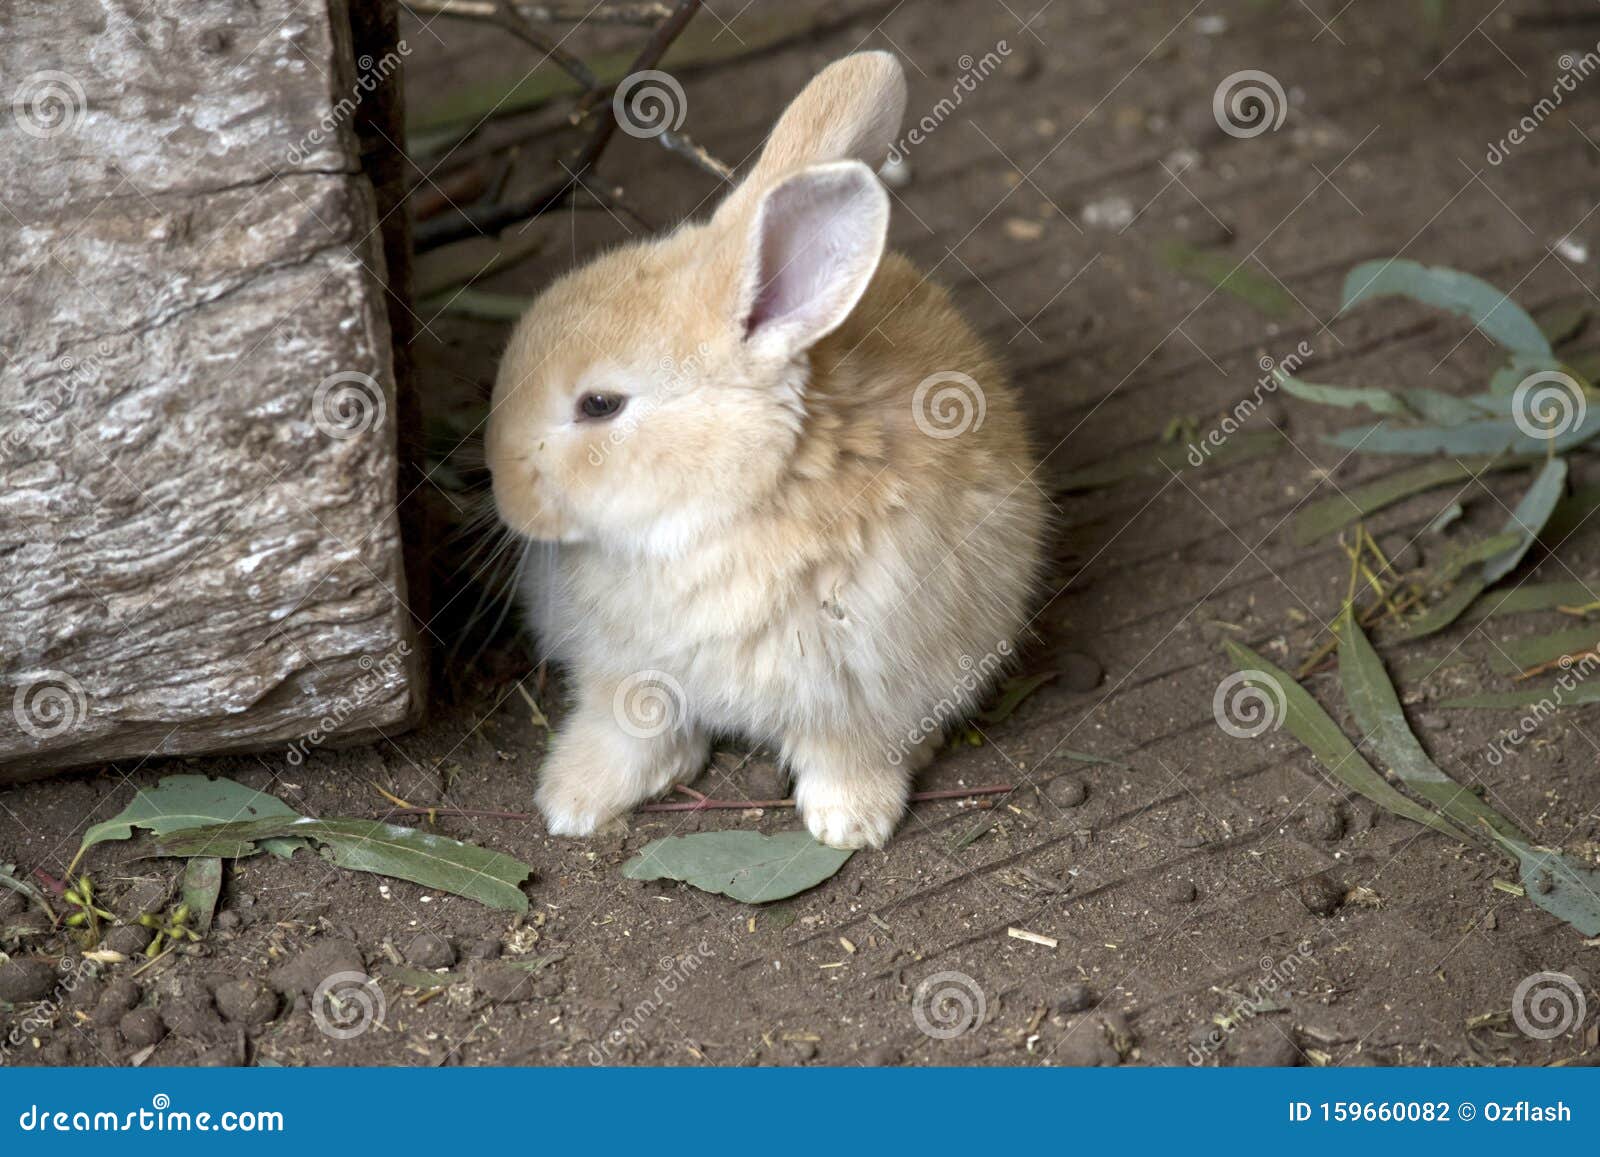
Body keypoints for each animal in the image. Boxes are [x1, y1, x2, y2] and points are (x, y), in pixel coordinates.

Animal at [486, 51, 1046, 848]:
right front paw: (573, 801)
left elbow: (846, 750)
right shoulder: (627, 672)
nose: (502, 486)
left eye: (600, 405)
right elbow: (632, 728)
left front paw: (851, 823)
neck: (732, 502)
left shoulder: (865, 685)